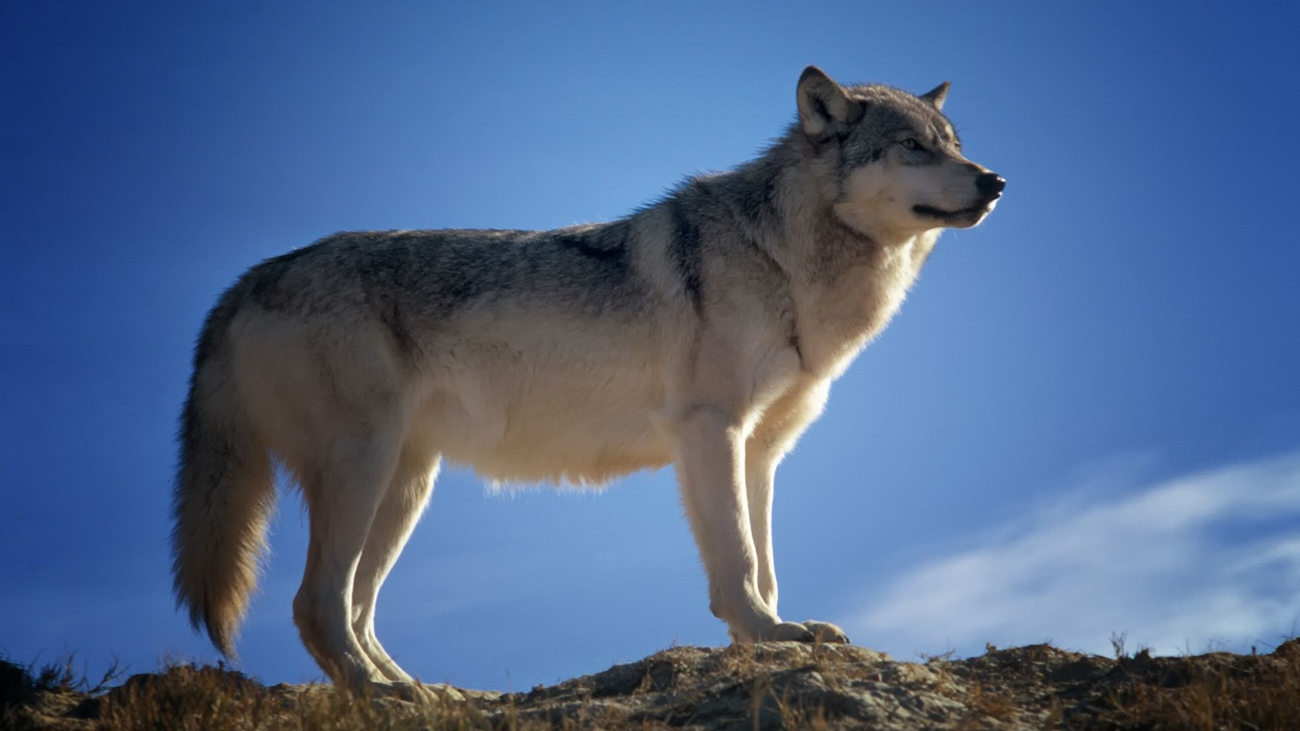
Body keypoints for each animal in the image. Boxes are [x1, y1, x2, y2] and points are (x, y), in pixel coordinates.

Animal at [171, 66, 1004, 698]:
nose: (995, 181)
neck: (782, 258)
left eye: (953, 145)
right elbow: (737, 560)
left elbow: (765, 562)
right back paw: (380, 694)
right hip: (363, 469)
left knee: (356, 608)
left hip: (405, 487)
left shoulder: (761, 451)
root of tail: (246, 280)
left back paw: (421, 691)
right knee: (317, 604)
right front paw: (767, 634)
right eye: (912, 148)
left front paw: (773, 633)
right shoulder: (710, 430)